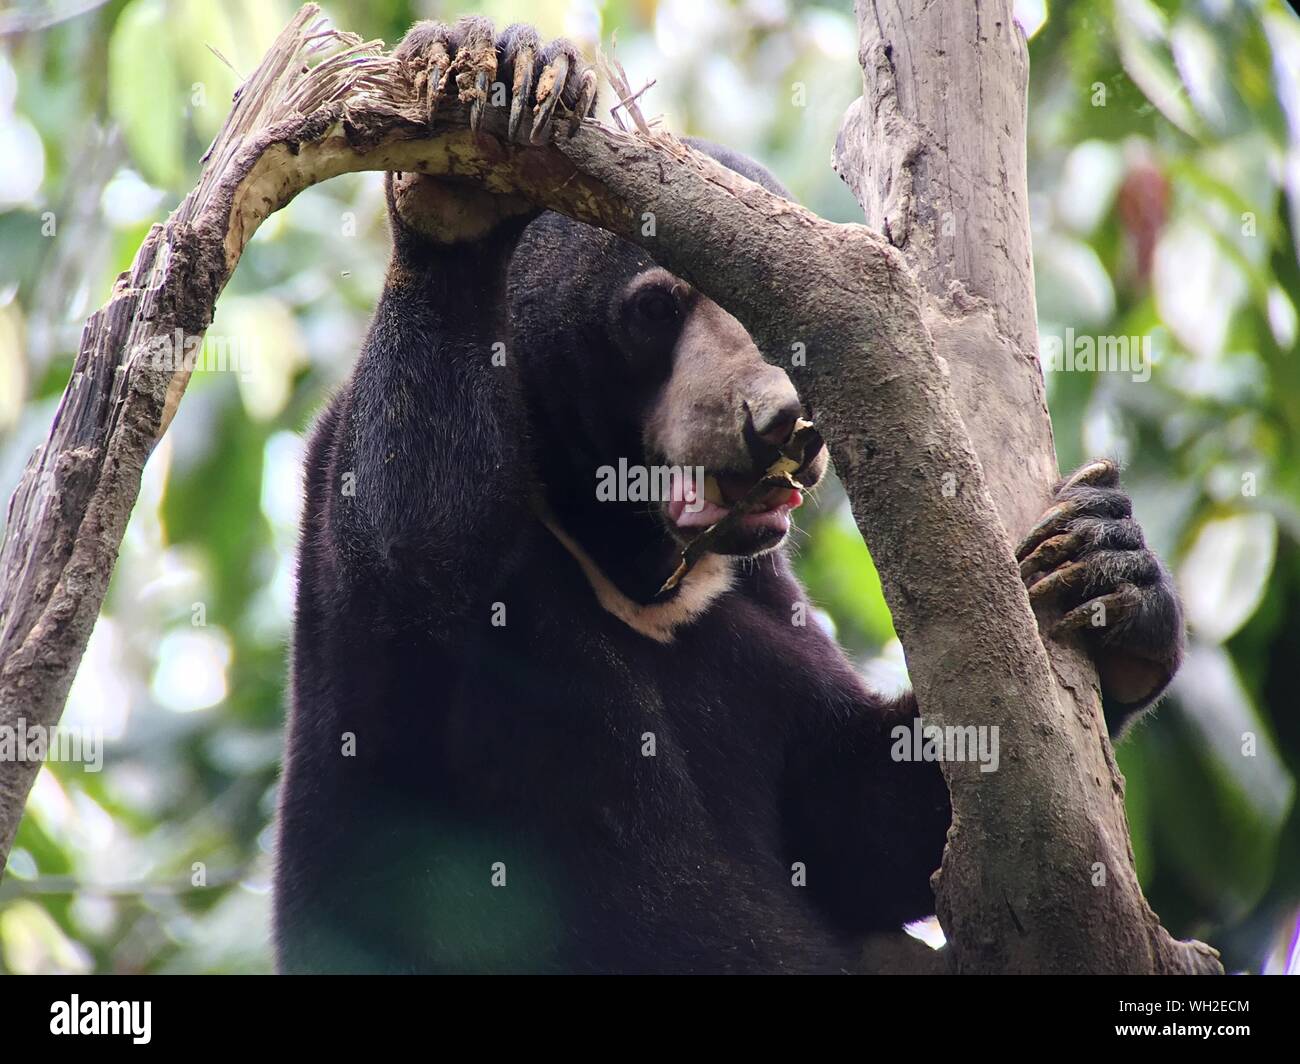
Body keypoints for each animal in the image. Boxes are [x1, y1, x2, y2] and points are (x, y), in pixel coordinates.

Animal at [273, 17, 1185, 974]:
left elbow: (855, 811)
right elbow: (410, 536)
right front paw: (482, 109)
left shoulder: (754, 602)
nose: (780, 424)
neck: (627, 559)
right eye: (655, 308)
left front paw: (1107, 576)